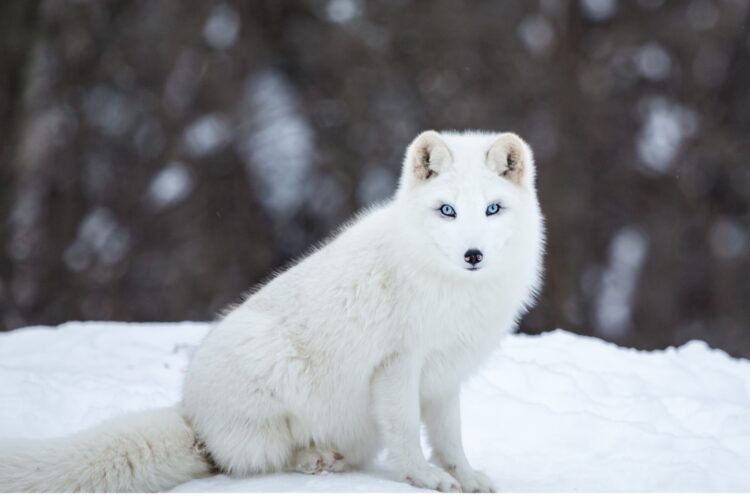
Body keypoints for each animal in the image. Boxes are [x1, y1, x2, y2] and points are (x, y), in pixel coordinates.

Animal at [0, 130, 545, 493]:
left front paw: (466, 476)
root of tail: (193, 419)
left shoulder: (445, 376)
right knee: (256, 461)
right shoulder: (397, 366)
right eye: (447, 210)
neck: (454, 290)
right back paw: (314, 458)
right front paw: (425, 478)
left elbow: (451, 437)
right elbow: (409, 433)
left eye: (493, 209)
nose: (473, 255)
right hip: (271, 362)